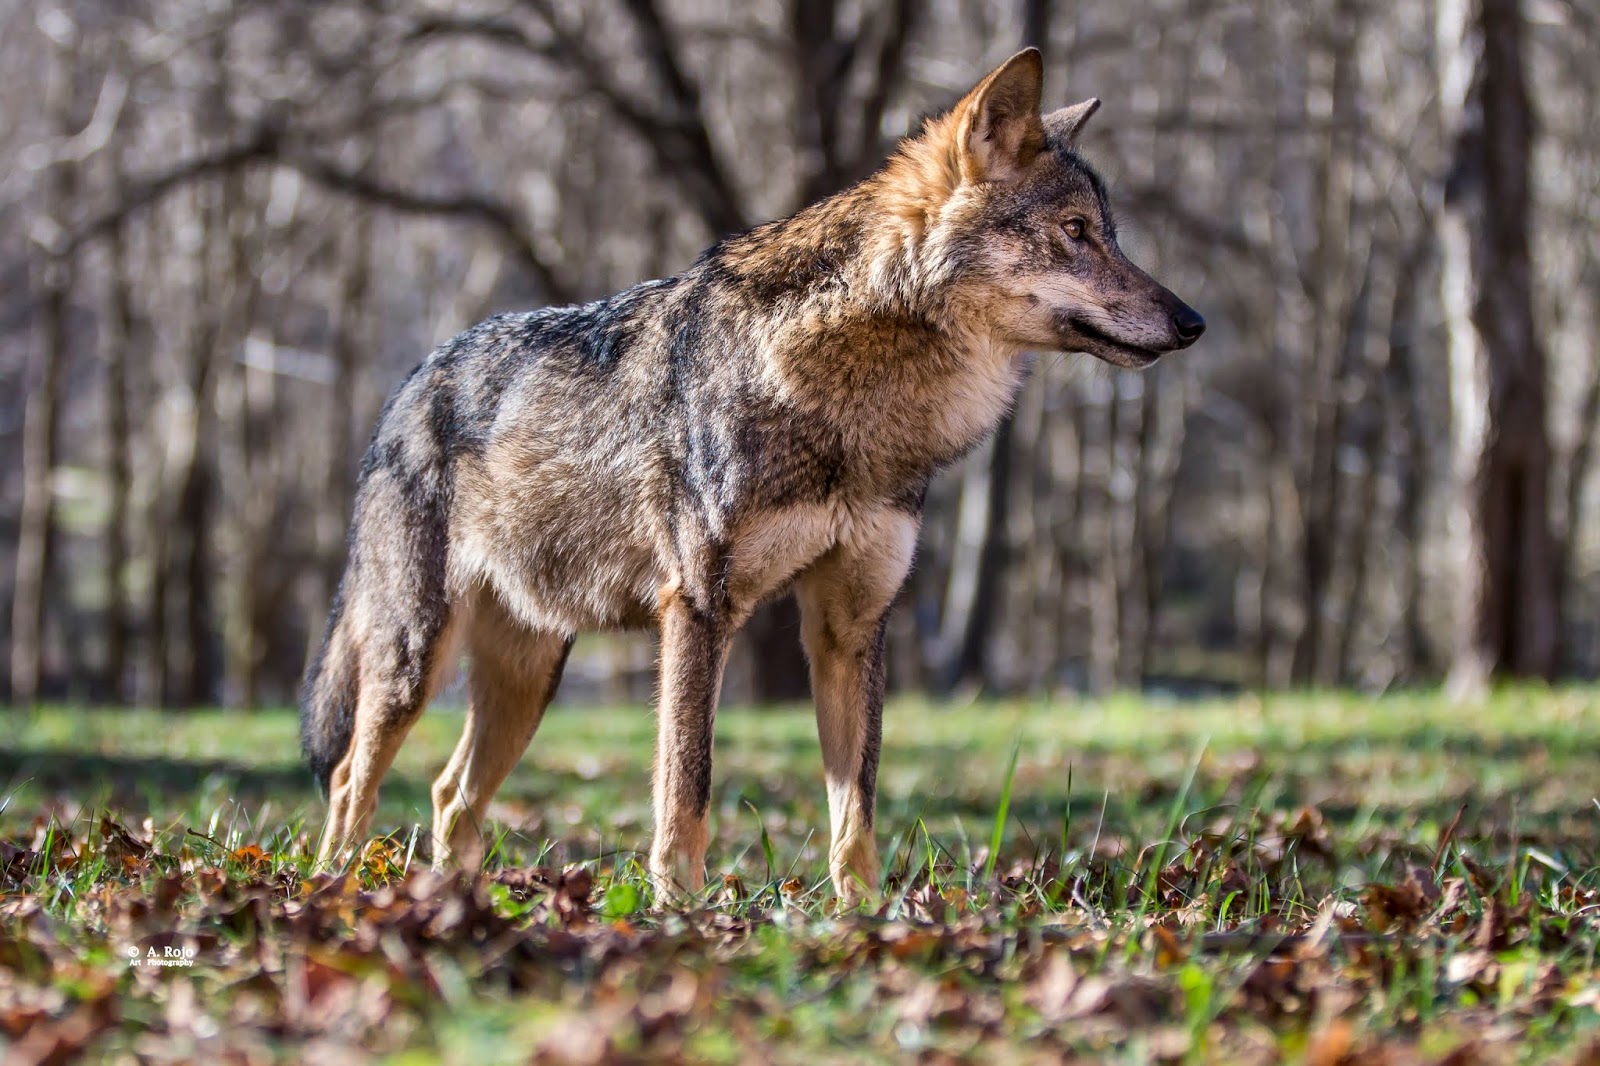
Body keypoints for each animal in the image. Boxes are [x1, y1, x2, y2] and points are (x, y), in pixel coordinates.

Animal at [301, 48, 1204, 902]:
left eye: (1110, 232)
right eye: (1076, 230)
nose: (1193, 321)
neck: (852, 398)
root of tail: (409, 385)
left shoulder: (851, 626)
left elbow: (855, 810)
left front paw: (861, 916)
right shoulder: (701, 610)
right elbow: (687, 789)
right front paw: (682, 908)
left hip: (530, 676)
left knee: (449, 796)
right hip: (415, 660)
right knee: (350, 780)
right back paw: (336, 889)